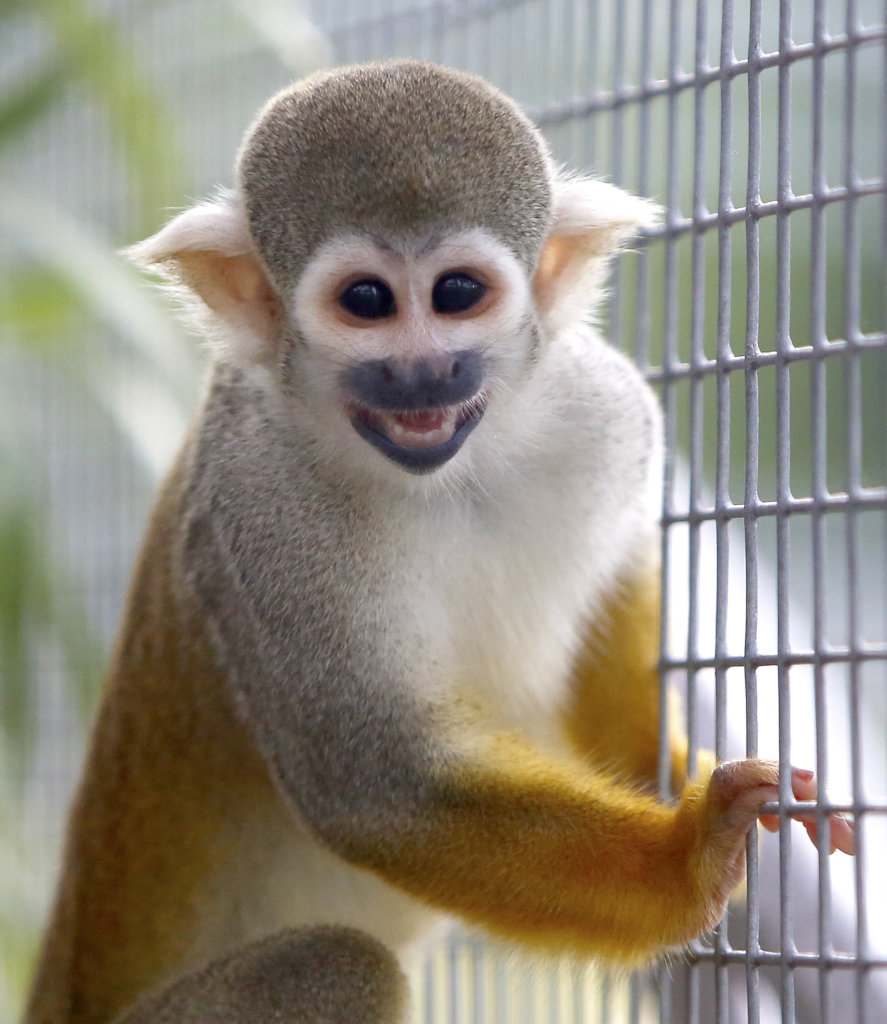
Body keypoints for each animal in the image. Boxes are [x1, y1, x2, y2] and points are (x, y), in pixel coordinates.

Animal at [24, 60, 854, 1024]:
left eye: (456, 294)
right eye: (367, 303)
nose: (422, 372)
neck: (453, 475)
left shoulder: (604, 408)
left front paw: (691, 774)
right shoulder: (257, 504)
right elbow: (379, 789)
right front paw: (689, 855)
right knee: (339, 963)